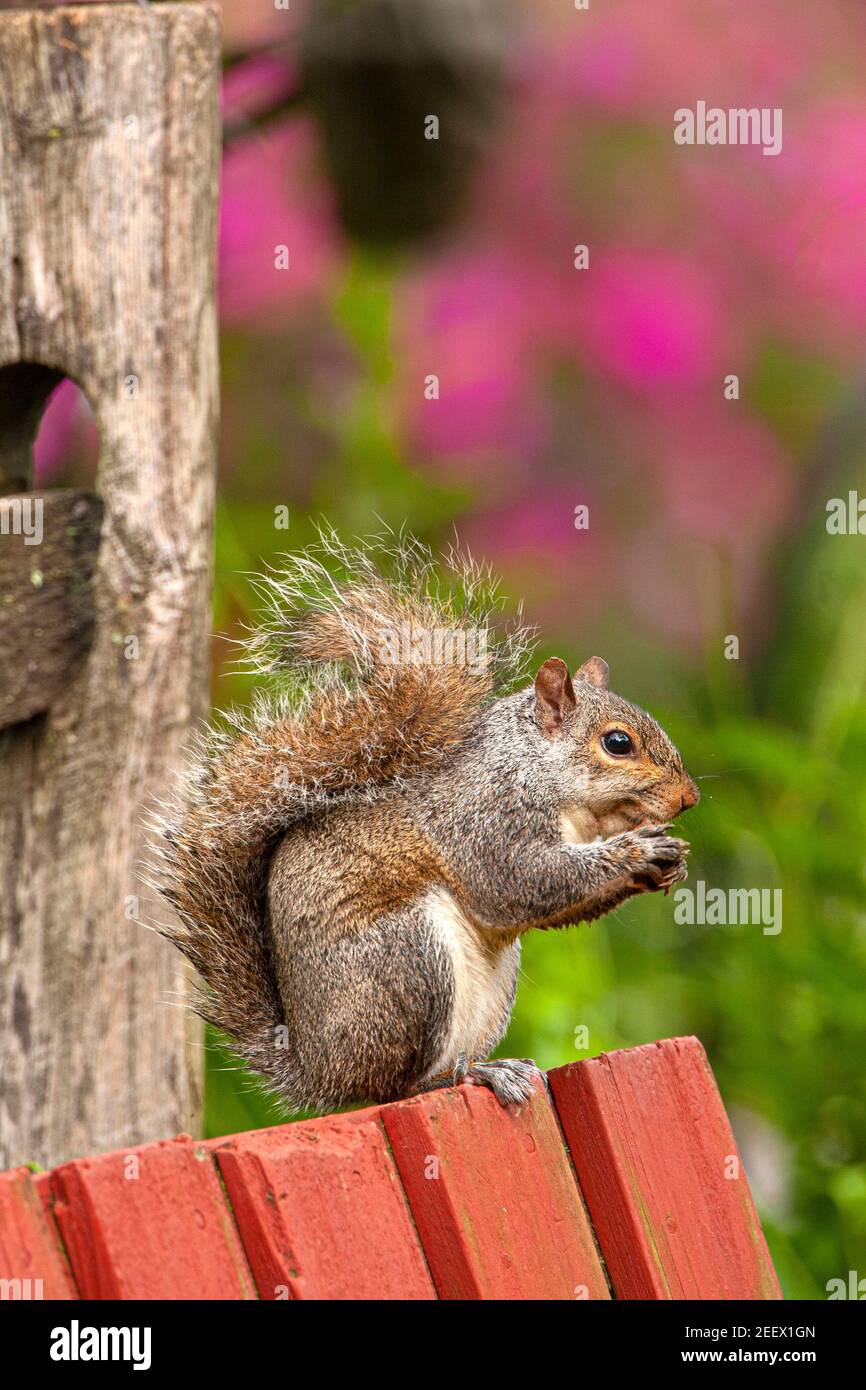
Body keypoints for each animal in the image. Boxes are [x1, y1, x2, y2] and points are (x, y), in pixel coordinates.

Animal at [150, 530, 699, 1111]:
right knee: (392, 1086)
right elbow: (521, 881)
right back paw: (468, 1076)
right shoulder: (483, 820)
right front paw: (637, 850)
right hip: (410, 961)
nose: (689, 798)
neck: (537, 771)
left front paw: (665, 864)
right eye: (617, 743)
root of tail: (318, 1071)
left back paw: (486, 1065)